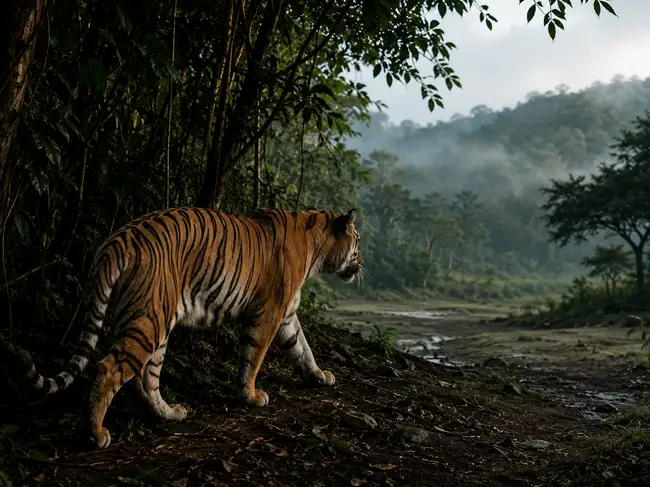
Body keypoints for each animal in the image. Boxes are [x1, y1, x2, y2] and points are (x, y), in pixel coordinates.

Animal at [19, 207, 363, 449]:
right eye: (357, 244)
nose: (360, 266)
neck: (316, 246)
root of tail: (115, 241)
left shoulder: (288, 314)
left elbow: (302, 348)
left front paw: (319, 376)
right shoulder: (270, 313)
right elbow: (253, 358)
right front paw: (250, 396)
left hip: (155, 323)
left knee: (146, 378)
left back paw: (169, 413)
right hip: (148, 321)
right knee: (108, 369)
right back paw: (94, 434)